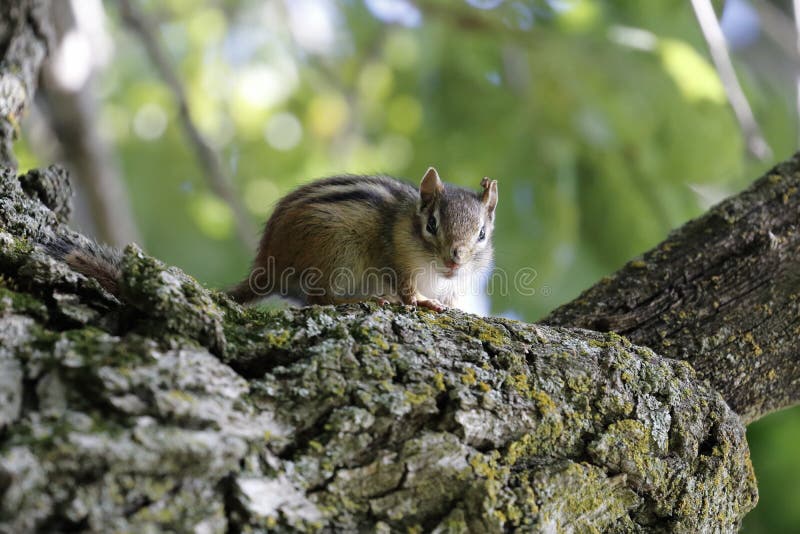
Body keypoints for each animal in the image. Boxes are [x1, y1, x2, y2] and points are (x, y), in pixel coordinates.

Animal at [47, 167, 498, 313]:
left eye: (481, 234)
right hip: (336, 252)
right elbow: (406, 289)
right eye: (432, 225)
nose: (455, 260)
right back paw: (367, 297)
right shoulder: (396, 257)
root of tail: (268, 264)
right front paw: (420, 299)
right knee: (320, 299)